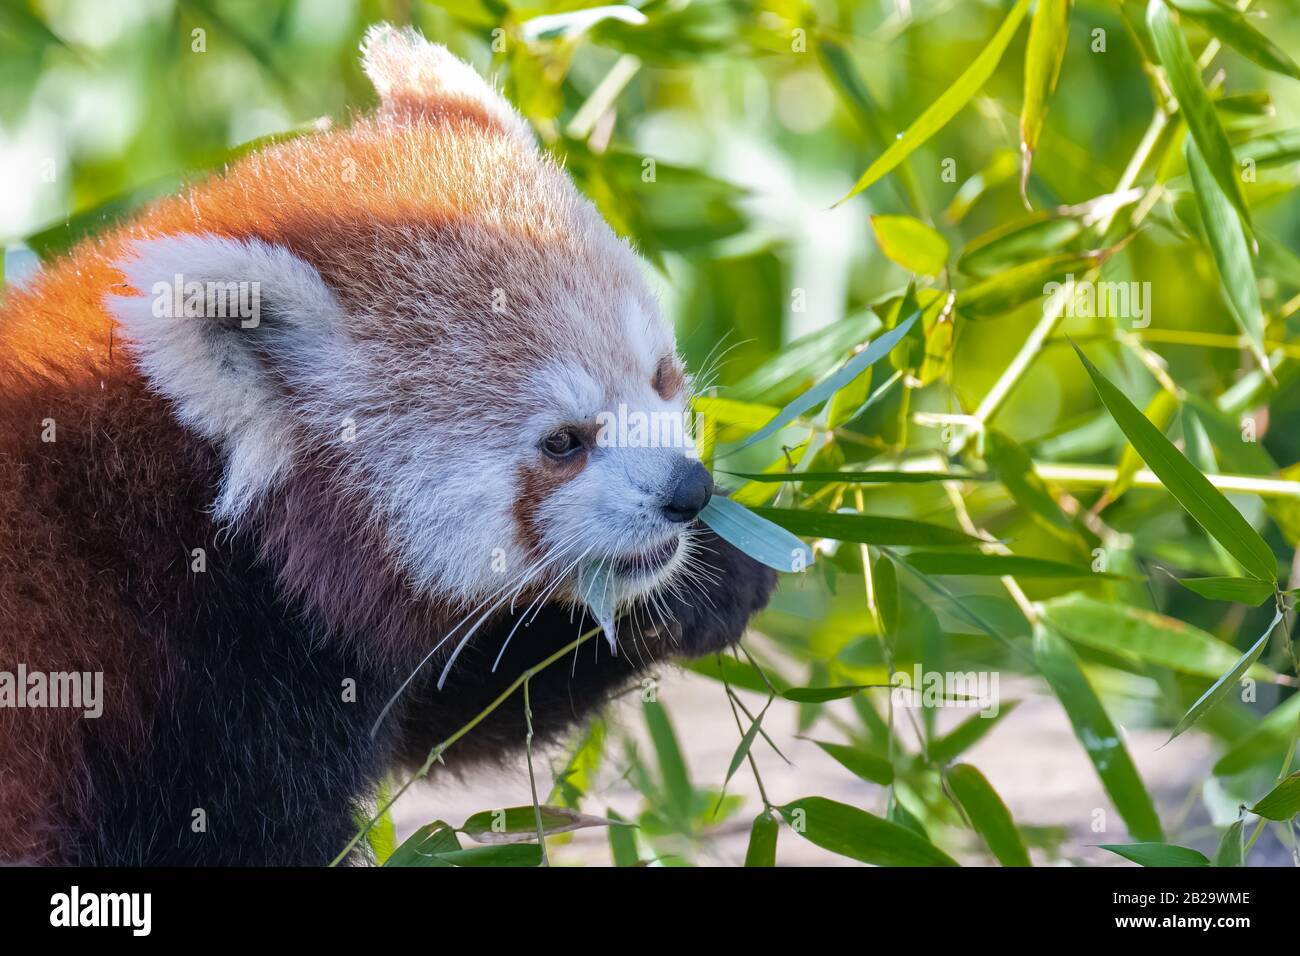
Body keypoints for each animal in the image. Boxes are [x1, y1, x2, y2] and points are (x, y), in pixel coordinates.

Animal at [0, 24, 777, 866]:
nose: (688, 492)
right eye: (563, 442)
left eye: (662, 375)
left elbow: (445, 695)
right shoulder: (186, 683)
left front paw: (719, 576)